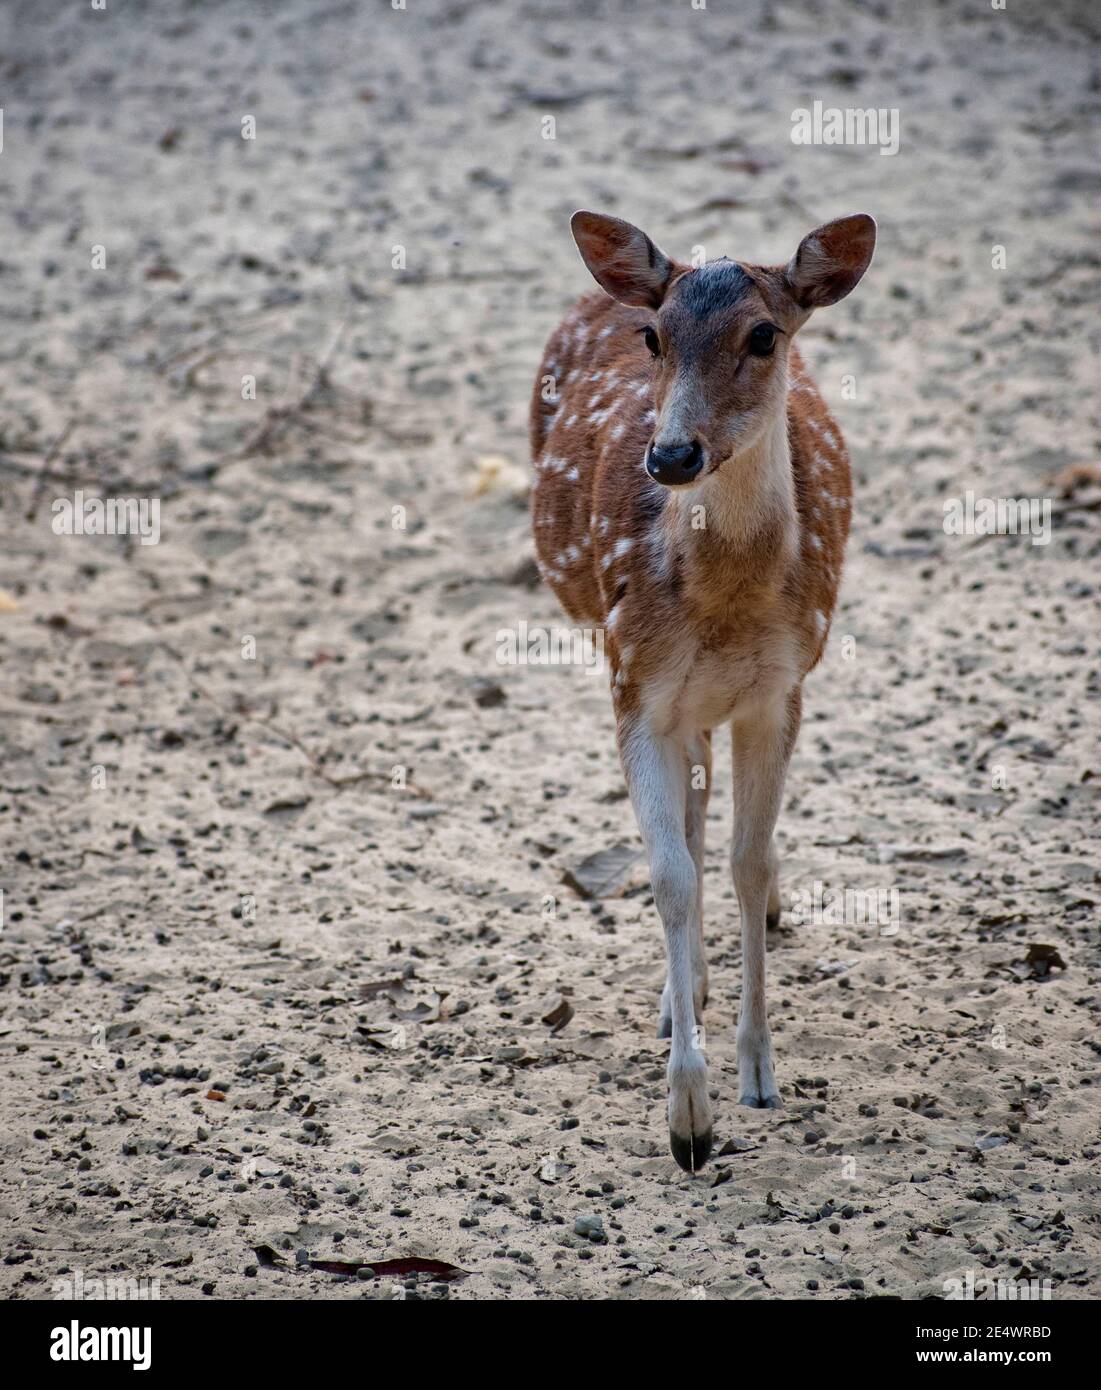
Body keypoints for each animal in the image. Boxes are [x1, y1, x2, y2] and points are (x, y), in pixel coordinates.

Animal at [529, 209, 876, 1171]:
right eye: (653, 337)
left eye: (763, 335)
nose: (672, 453)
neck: (724, 604)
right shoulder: (634, 683)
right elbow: (671, 873)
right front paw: (688, 1117)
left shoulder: (780, 687)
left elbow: (745, 863)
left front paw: (757, 1073)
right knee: (687, 818)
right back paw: (680, 994)